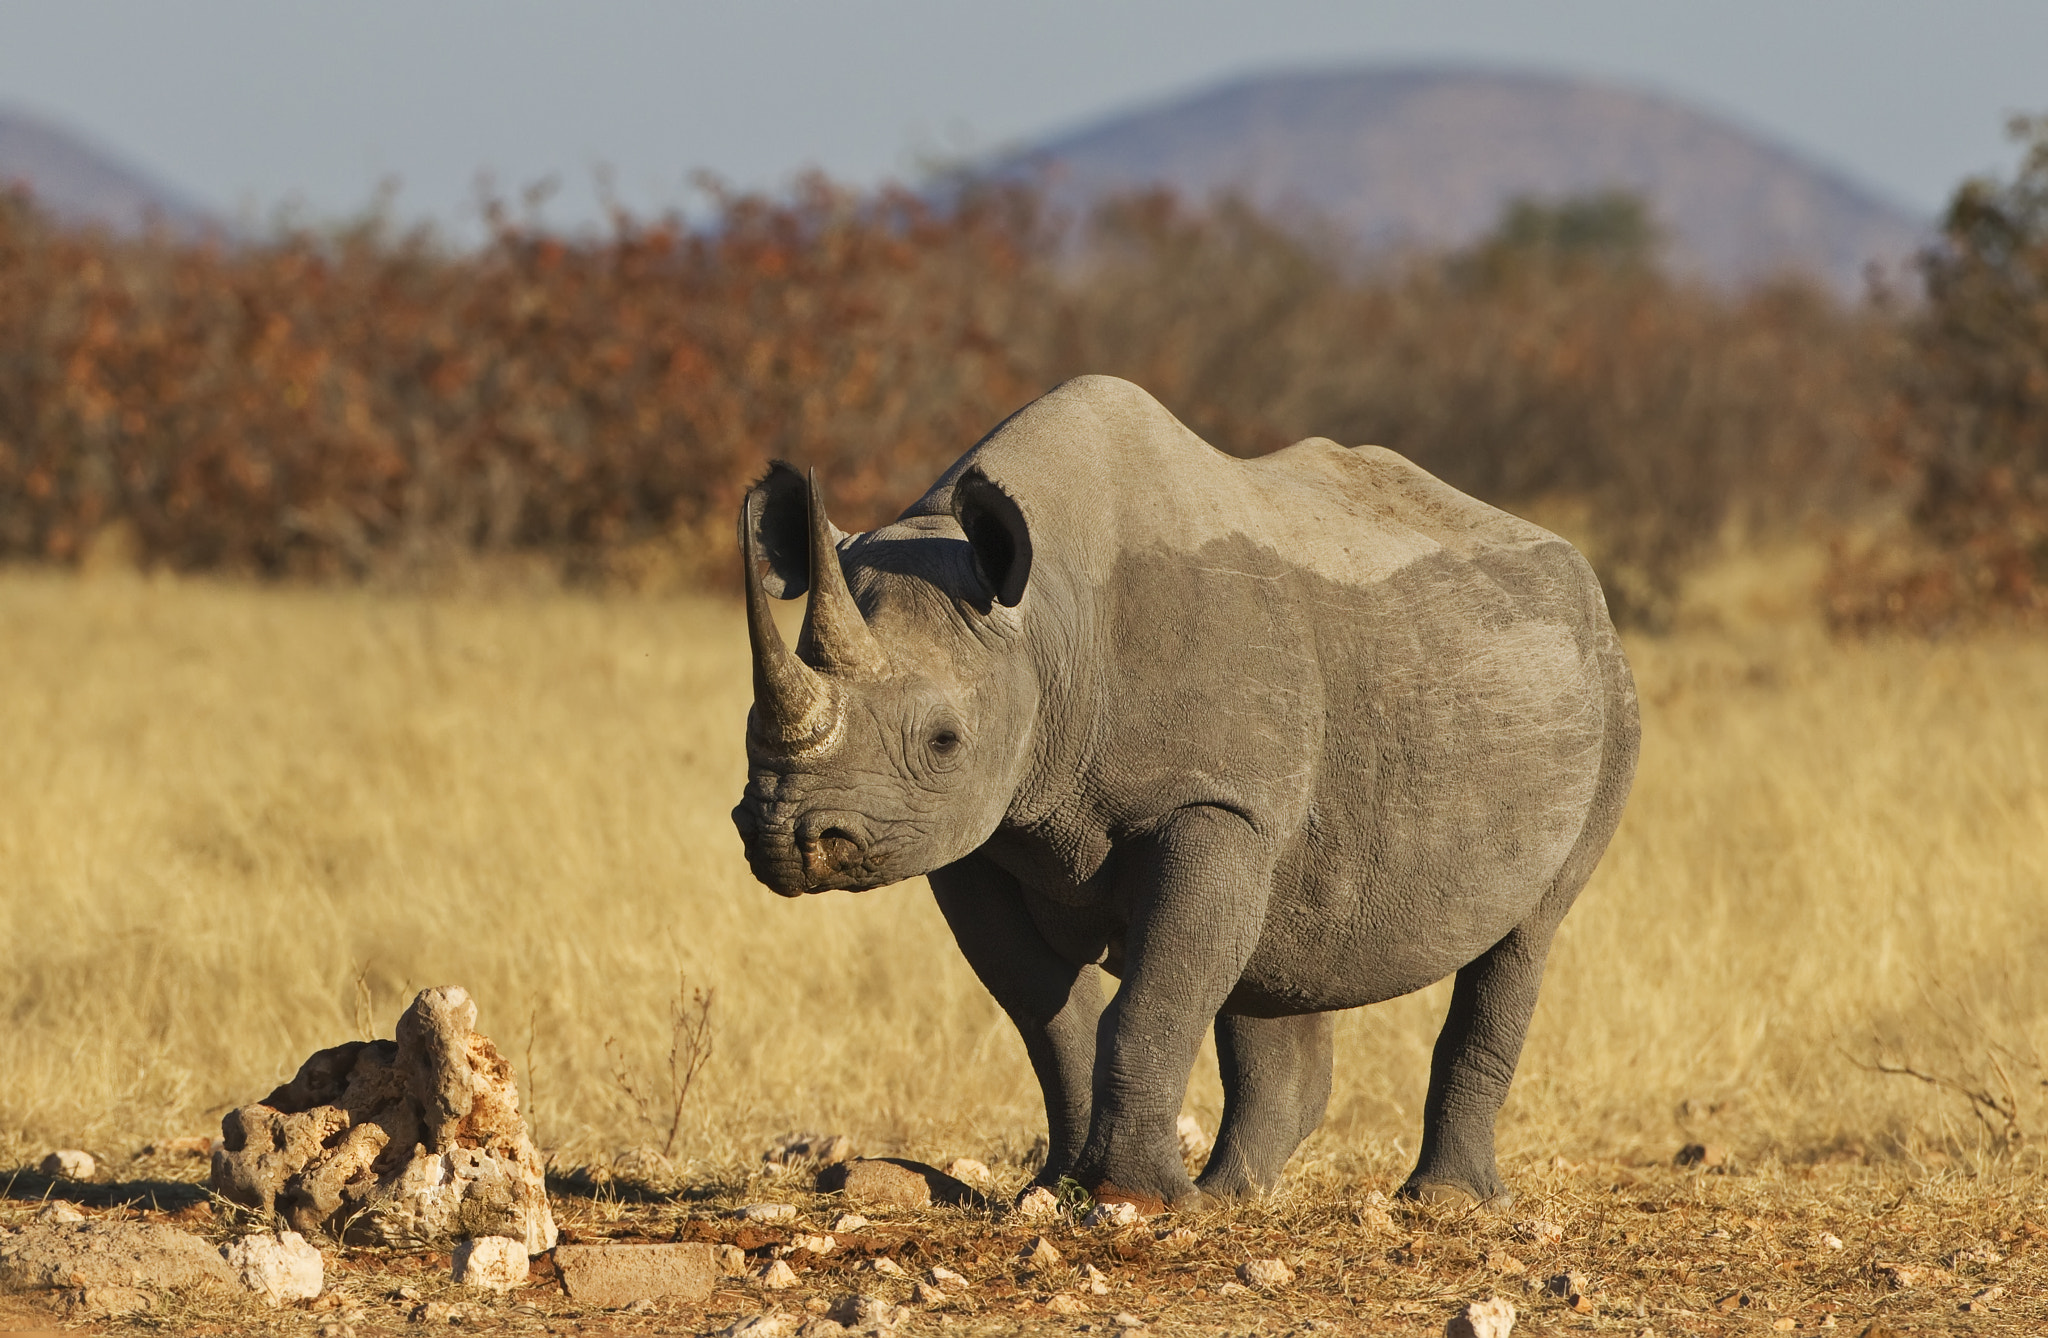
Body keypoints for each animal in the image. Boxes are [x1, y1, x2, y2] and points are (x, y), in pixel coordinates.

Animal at [731, 375, 1638, 1212]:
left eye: (944, 741)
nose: (790, 839)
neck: (1048, 625)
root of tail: (1580, 579)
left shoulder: (1212, 803)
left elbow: (1154, 1001)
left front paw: (1133, 1200)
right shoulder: (975, 836)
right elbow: (1046, 1012)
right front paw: (1058, 1190)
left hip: (1608, 687)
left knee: (1525, 935)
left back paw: (1443, 1202)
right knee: (1281, 949)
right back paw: (1236, 1196)